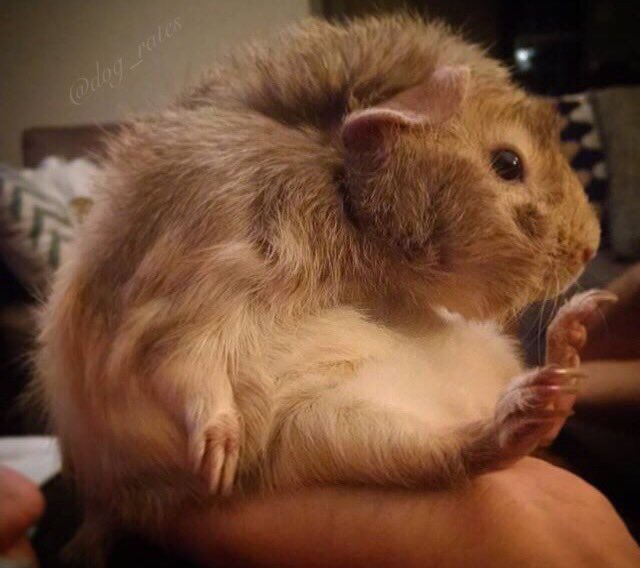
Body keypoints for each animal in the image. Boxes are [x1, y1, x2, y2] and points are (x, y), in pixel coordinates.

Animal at [36, 13, 603, 554]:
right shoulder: (186, 302)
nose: (591, 246)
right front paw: (217, 458)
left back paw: (566, 352)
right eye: (508, 163)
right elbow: (188, 374)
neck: (344, 207)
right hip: (330, 430)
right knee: (466, 451)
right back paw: (535, 400)